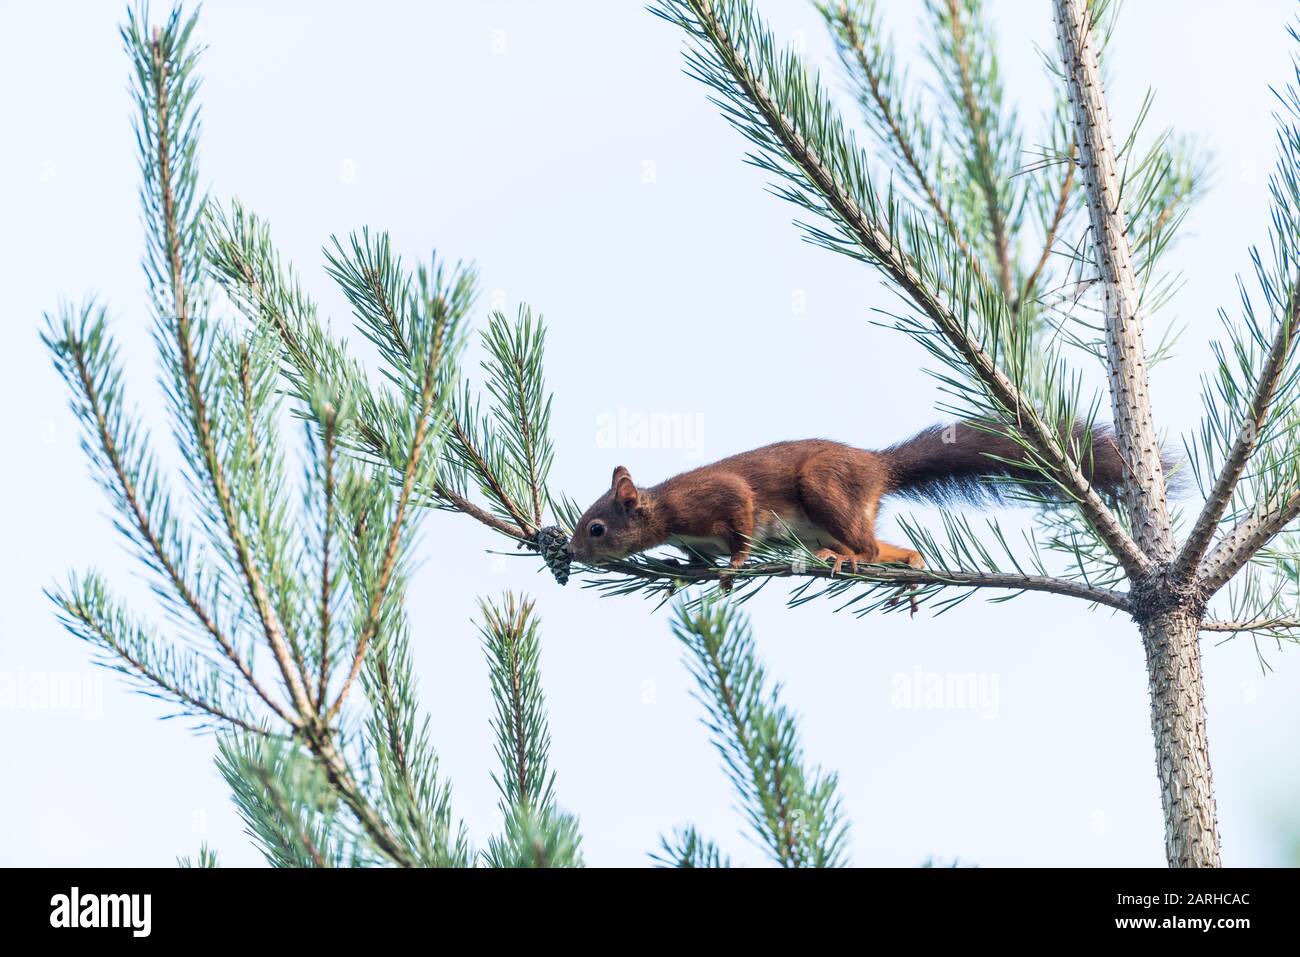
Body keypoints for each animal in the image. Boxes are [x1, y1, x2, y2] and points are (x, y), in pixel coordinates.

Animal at [567, 421, 1128, 588]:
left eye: (595, 528)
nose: (570, 552)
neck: (664, 511)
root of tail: (879, 468)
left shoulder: (719, 497)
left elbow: (741, 525)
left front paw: (736, 564)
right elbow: (694, 556)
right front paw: (680, 568)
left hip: (824, 488)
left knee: (869, 548)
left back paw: (848, 560)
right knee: (888, 548)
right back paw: (911, 569)